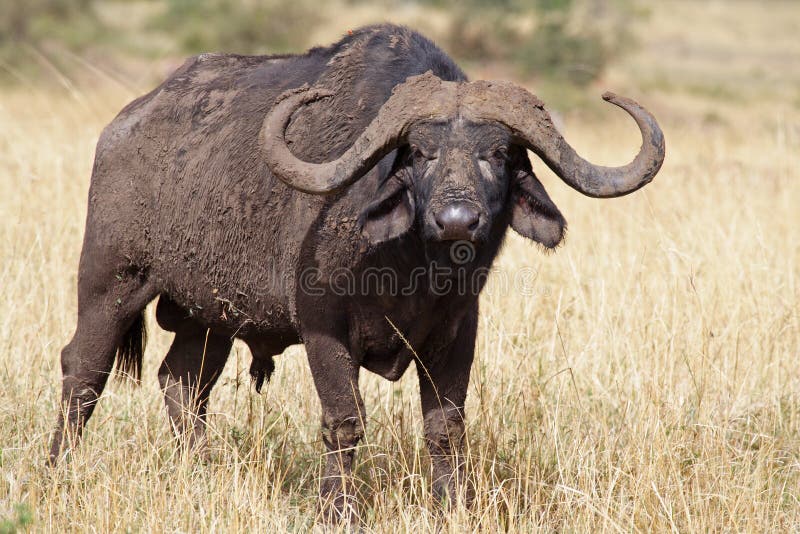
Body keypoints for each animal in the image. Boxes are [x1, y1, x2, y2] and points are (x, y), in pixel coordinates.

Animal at [48, 24, 664, 521]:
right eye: (419, 153)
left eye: (497, 154)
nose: (458, 220)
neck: (409, 271)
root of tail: (123, 126)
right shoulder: (324, 330)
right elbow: (344, 422)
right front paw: (337, 509)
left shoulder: (457, 333)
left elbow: (446, 428)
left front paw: (453, 507)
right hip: (111, 281)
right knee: (83, 371)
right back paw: (59, 470)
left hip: (210, 316)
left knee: (182, 384)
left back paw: (199, 470)